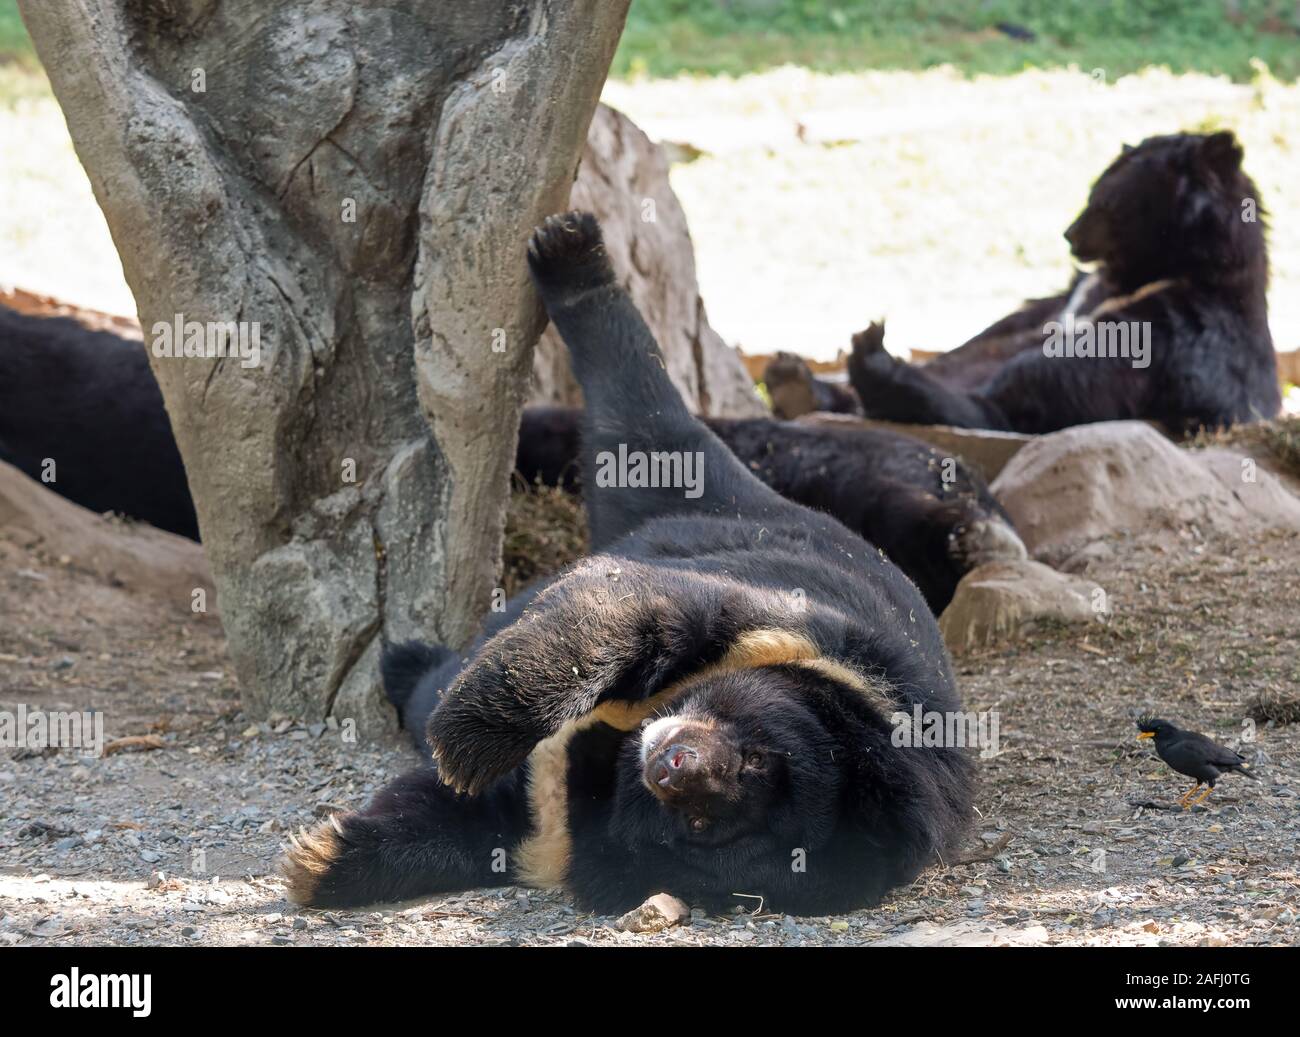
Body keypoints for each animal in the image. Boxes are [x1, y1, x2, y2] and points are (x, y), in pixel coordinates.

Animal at [847, 131, 1280, 436]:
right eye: (1093, 192)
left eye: (1106, 202)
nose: (1070, 234)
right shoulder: (1071, 298)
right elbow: (997, 337)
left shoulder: (1178, 330)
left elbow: (1062, 377)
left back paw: (874, 364)